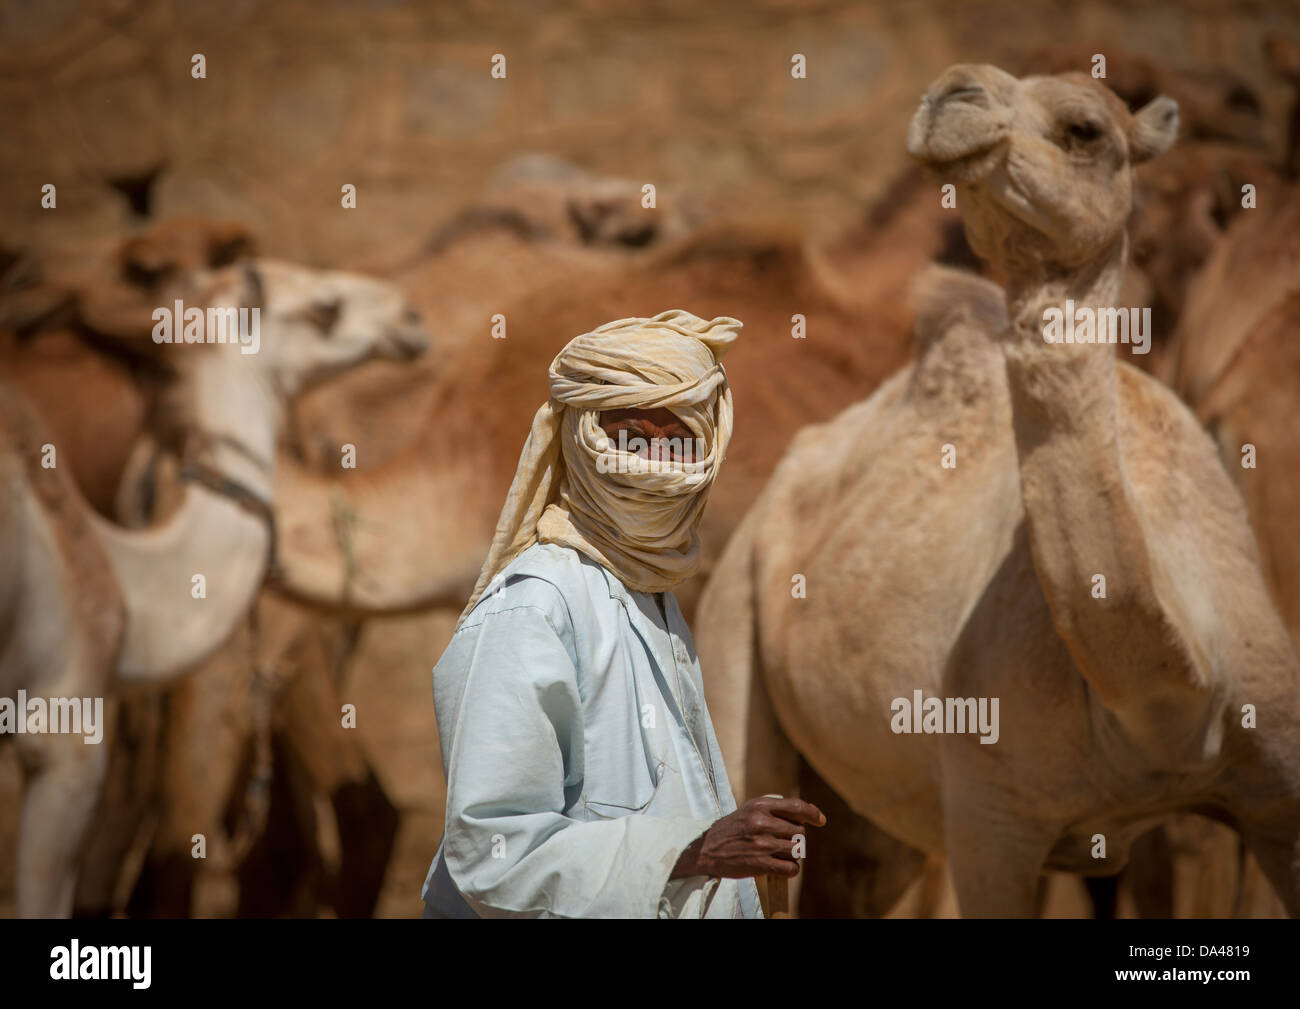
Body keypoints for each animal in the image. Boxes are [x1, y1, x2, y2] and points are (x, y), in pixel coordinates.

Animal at [694, 63, 1300, 917]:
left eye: (1086, 129)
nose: (953, 92)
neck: (1172, 703)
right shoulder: (991, 823)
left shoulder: (1276, 792)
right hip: (730, 625)